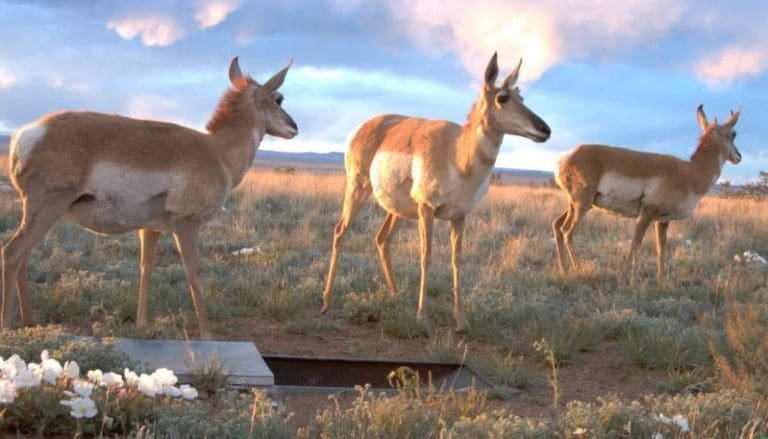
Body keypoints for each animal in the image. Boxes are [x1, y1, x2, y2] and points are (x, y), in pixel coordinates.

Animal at [1, 57, 297, 340]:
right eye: (279, 98)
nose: (294, 127)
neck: (217, 151)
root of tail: (24, 135)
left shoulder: (150, 229)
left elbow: (146, 270)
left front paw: (142, 324)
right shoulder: (187, 224)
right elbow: (194, 275)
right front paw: (208, 335)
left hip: (38, 213)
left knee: (24, 256)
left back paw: (30, 322)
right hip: (48, 208)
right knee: (12, 253)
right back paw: (9, 326)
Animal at [321, 53, 551, 332]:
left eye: (522, 96)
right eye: (503, 97)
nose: (545, 129)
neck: (458, 153)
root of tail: (364, 126)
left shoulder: (460, 216)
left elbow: (456, 260)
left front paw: (461, 321)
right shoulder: (427, 209)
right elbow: (426, 256)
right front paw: (423, 318)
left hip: (397, 210)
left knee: (382, 239)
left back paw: (396, 297)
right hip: (358, 189)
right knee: (340, 231)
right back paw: (327, 302)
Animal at [553, 105, 742, 286]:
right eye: (734, 134)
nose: (739, 156)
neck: (691, 171)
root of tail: (566, 157)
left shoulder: (662, 220)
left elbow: (661, 248)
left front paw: (661, 283)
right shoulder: (646, 214)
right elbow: (636, 244)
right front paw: (622, 279)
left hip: (579, 205)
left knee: (557, 226)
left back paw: (564, 270)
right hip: (582, 204)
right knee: (567, 231)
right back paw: (577, 270)